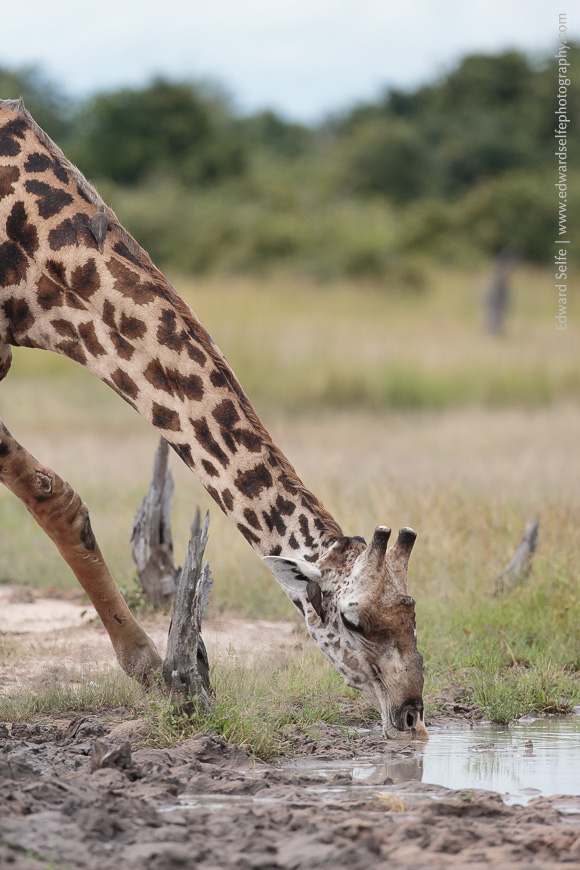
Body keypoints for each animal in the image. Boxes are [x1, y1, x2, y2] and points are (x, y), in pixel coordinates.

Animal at [0, 99, 427, 739]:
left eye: (412, 610)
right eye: (352, 621)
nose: (410, 713)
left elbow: (57, 495)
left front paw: (155, 673)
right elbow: (49, 494)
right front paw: (156, 674)